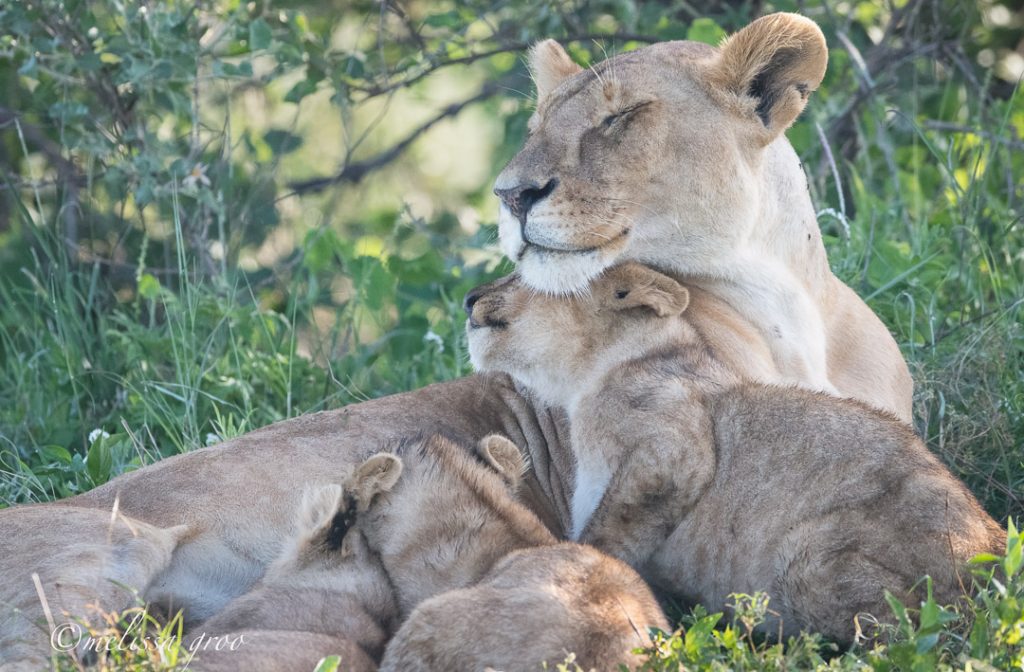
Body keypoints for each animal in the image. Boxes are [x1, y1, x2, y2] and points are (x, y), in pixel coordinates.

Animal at [465, 263, 1005, 642]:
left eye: (523, 273)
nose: (469, 297)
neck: (594, 376)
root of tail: (996, 546)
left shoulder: (675, 447)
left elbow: (607, 529)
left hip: (806, 555)